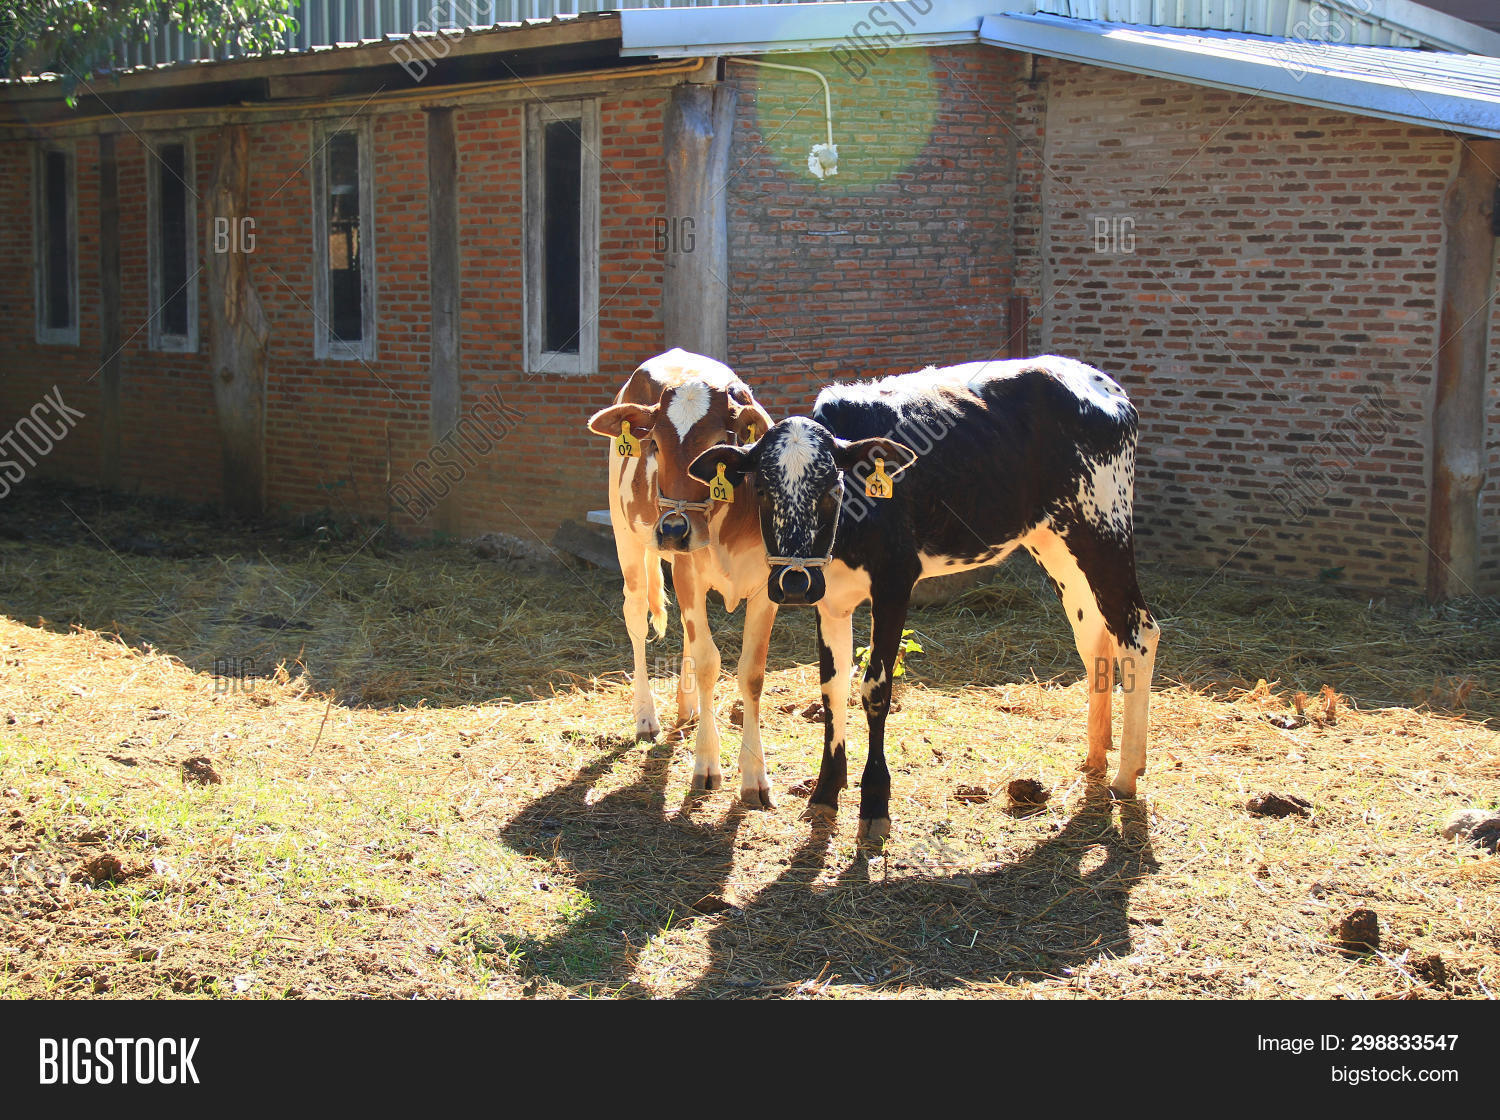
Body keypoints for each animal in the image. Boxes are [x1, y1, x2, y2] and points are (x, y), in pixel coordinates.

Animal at [587, 349, 779, 807]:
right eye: (654, 445)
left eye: (717, 449)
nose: (673, 529)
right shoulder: (687, 570)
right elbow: (710, 662)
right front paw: (707, 764)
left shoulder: (766, 586)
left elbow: (751, 673)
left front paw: (755, 775)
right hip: (626, 537)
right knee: (637, 618)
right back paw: (646, 716)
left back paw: (686, 705)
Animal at [687, 355, 1161, 848]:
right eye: (762, 489)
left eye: (833, 488)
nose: (794, 582)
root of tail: (1096, 380)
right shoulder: (831, 597)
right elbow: (832, 687)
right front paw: (825, 791)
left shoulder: (895, 583)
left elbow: (875, 689)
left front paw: (875, 804)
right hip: (1055, 543)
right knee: (1094, 638)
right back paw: (1096, 756)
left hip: (1102, 526)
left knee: (1138, 632)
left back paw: (1127, 771)